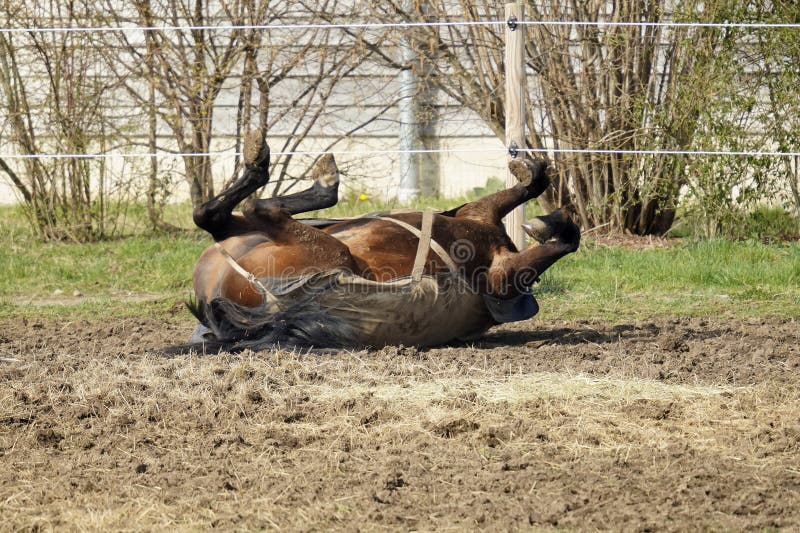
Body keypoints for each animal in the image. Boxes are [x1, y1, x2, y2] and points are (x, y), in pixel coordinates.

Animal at [186, 132, 579, 351]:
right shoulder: (478, 218)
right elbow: (535, 194)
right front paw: (542, 200)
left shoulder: (496, 266)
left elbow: (563, 240)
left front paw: (549, 221)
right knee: (222, 213)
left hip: (325, 249)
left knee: (236, 211)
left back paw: (310, 176)